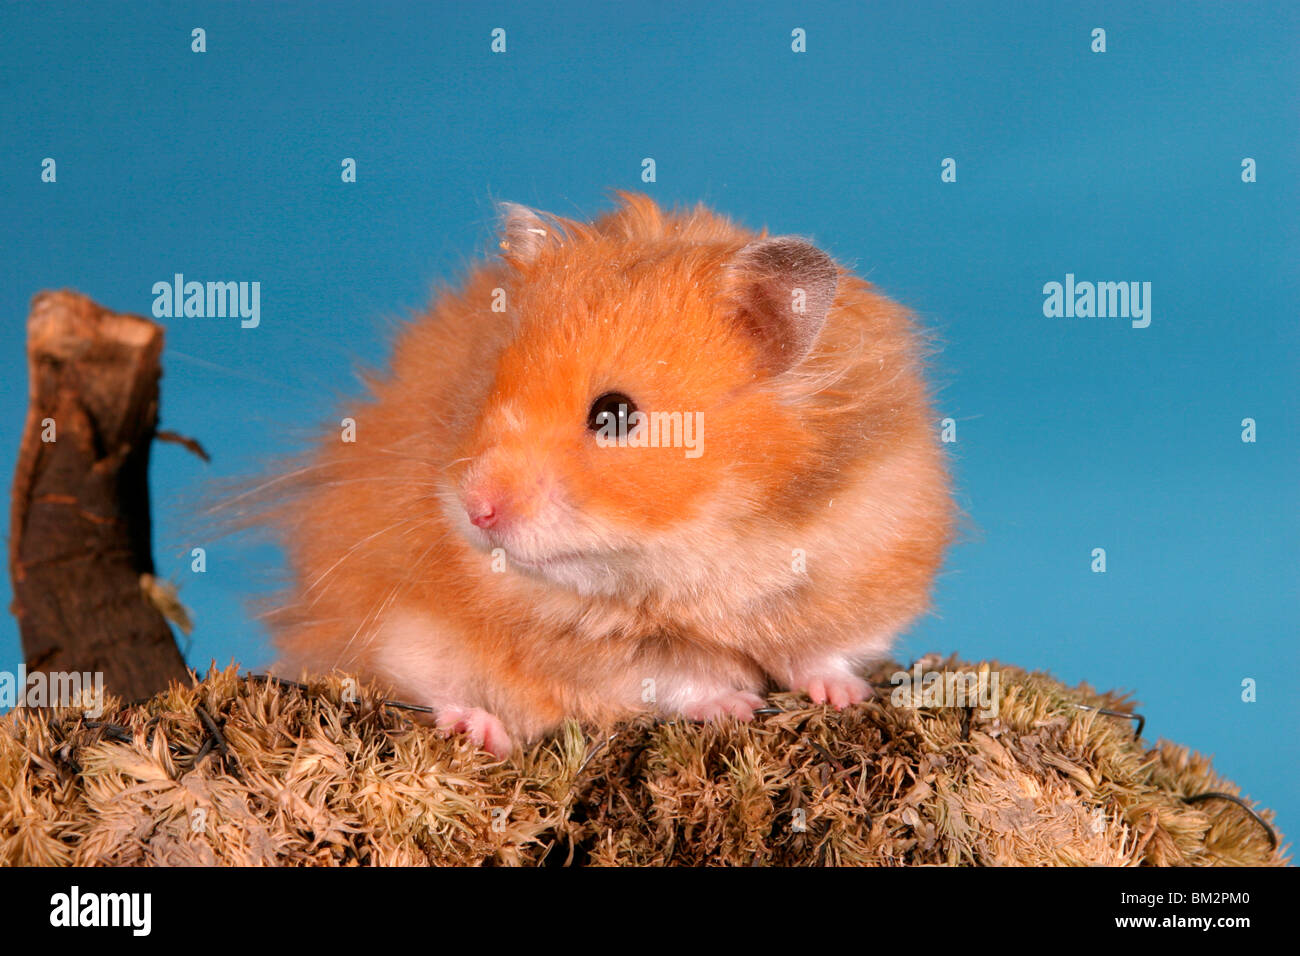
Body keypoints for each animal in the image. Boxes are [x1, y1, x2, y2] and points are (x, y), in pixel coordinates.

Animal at [266, 193, 954, 756]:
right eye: (490, 386)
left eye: (616, 413)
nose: (474, 511)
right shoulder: (592, 653)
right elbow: (674, 677)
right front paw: (735, 705)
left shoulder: (862, 561)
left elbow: (822, 649)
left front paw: (844, 695)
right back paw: (477, 729)